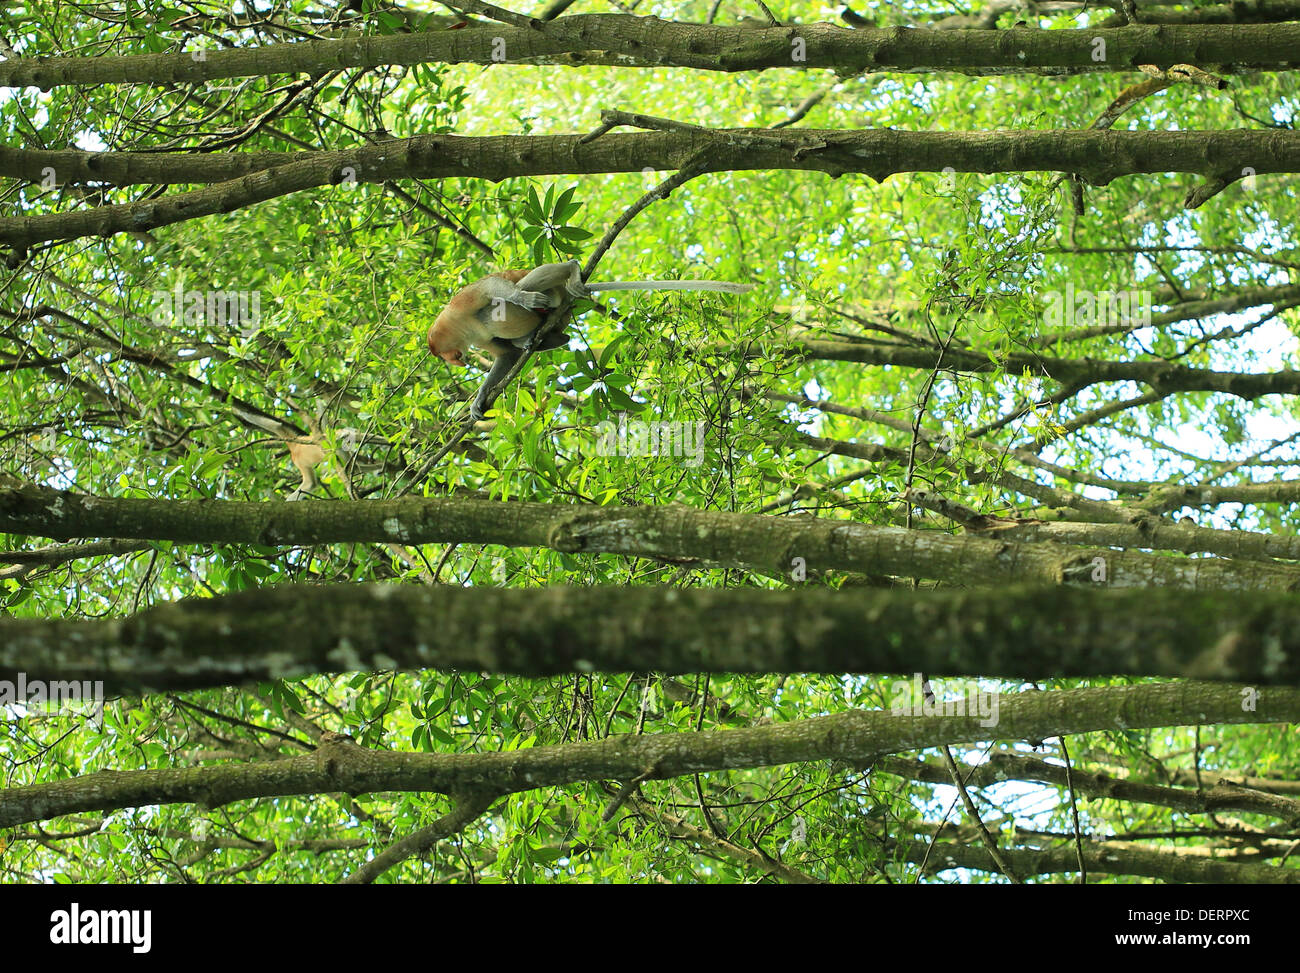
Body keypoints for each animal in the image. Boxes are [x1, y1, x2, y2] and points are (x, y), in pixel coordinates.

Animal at [427, 259, 753, 421]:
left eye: (444, 354)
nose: (458, 361)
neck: (459, 325)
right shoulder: (476, 337)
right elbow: (504, 355)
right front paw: (478, 402)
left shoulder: (463, 303)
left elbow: (494, 288)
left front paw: (522, 297)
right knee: (535, 336)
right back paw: (541, 338)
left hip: (550, 290)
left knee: (505, 299)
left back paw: (568, 272)